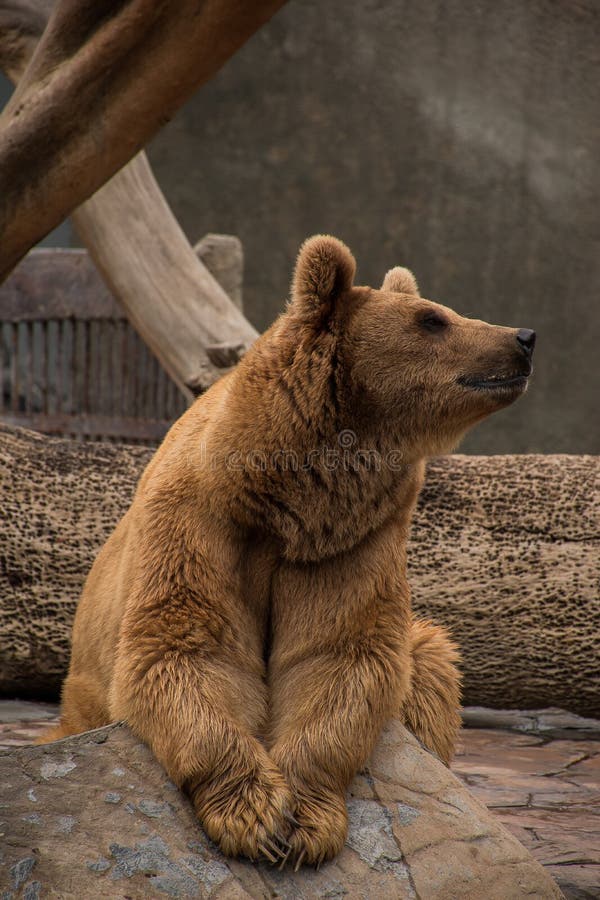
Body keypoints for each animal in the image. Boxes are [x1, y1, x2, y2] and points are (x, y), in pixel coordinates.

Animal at [40, 235, 536, 867]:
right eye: (432, 319)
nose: (523, 337)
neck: (286, 495)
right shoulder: (202, 527)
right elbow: (190, 652)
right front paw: (255, 814)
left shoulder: (350, 542)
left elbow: (337, 656)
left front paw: (302, 818)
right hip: (83, 692)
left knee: (429, 665)